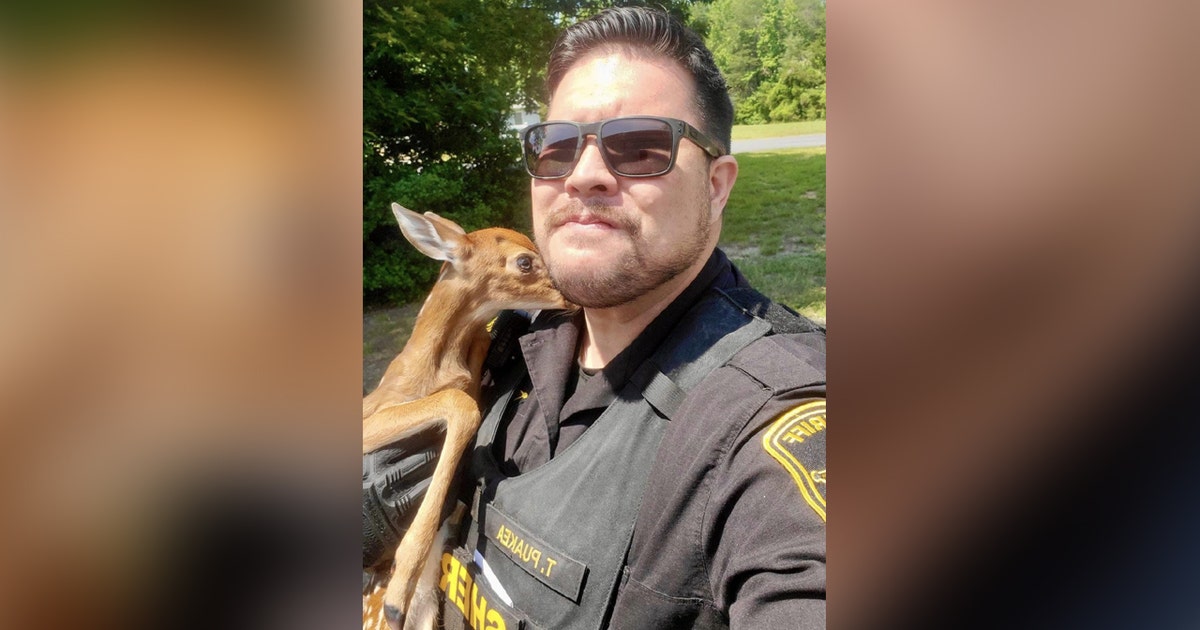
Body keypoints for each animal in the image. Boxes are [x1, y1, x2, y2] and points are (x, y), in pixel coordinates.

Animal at [363, 203, 568, 630]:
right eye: (525, 261)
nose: (570, 297)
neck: (437, 366)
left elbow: (463, 401)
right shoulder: (370, 415)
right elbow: (460, 403)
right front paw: (399, 587)